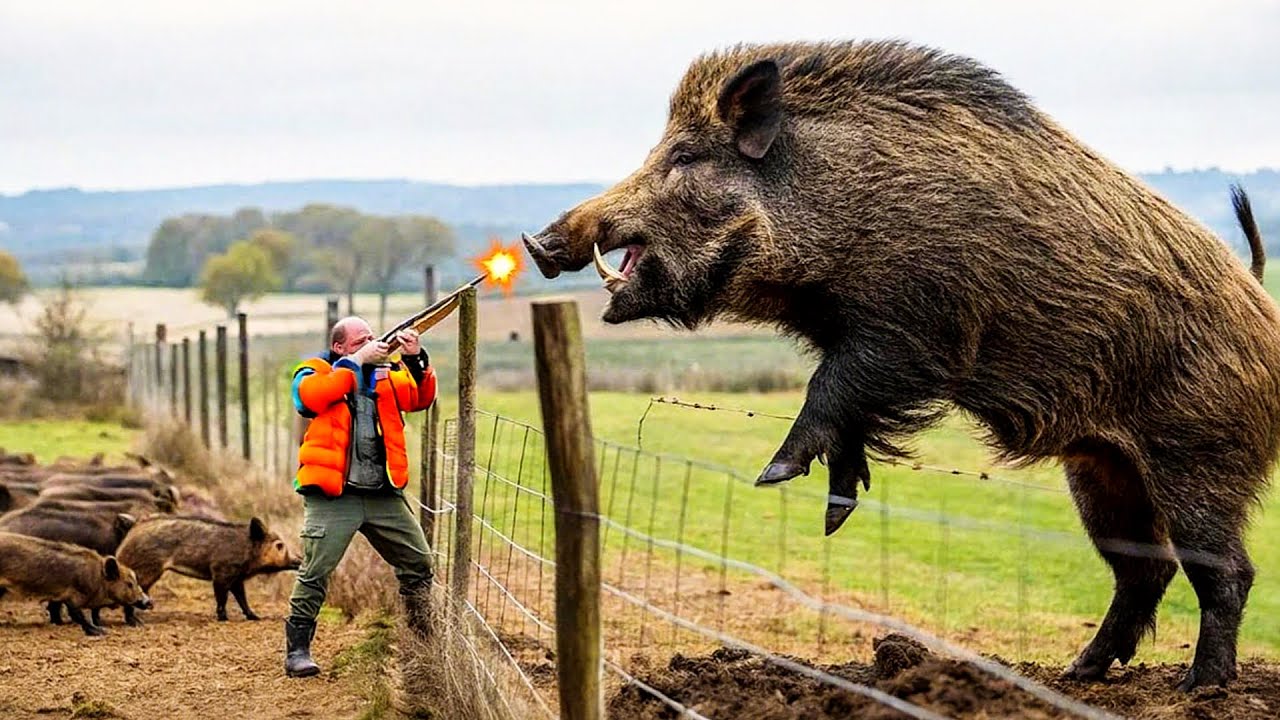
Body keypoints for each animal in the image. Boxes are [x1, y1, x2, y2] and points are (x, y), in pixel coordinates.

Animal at [0, 531, 151, 635]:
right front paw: (101, 631)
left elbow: (56, 608)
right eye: (129, 583)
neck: (96, 577)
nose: (149, 601)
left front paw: (60, 623)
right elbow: (78, 615)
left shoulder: (59, 597)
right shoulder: (73, 596)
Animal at [115, 516, 301, 624]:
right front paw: (223, 618)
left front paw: (255, 617)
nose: (299, 559)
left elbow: (242, 597)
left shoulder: (237, 578)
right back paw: (135, 622)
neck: (246, 549)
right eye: (279, 545)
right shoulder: (221, 573)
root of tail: (132, 530)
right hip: (147, 570)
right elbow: (222, 597)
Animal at [522, 40, 1280, 691]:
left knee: (1226, 570)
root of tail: (1262, 310)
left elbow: (831, 389)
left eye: (683, 155)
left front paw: (774, 477)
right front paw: (835, 512)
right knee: (1142, 571)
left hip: (1198, 455)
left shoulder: (916, 329)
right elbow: (844, 409)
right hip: (1101, 470)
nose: (541, 241)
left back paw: (1200, 686)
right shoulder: (853, 336)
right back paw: (1078, 673)